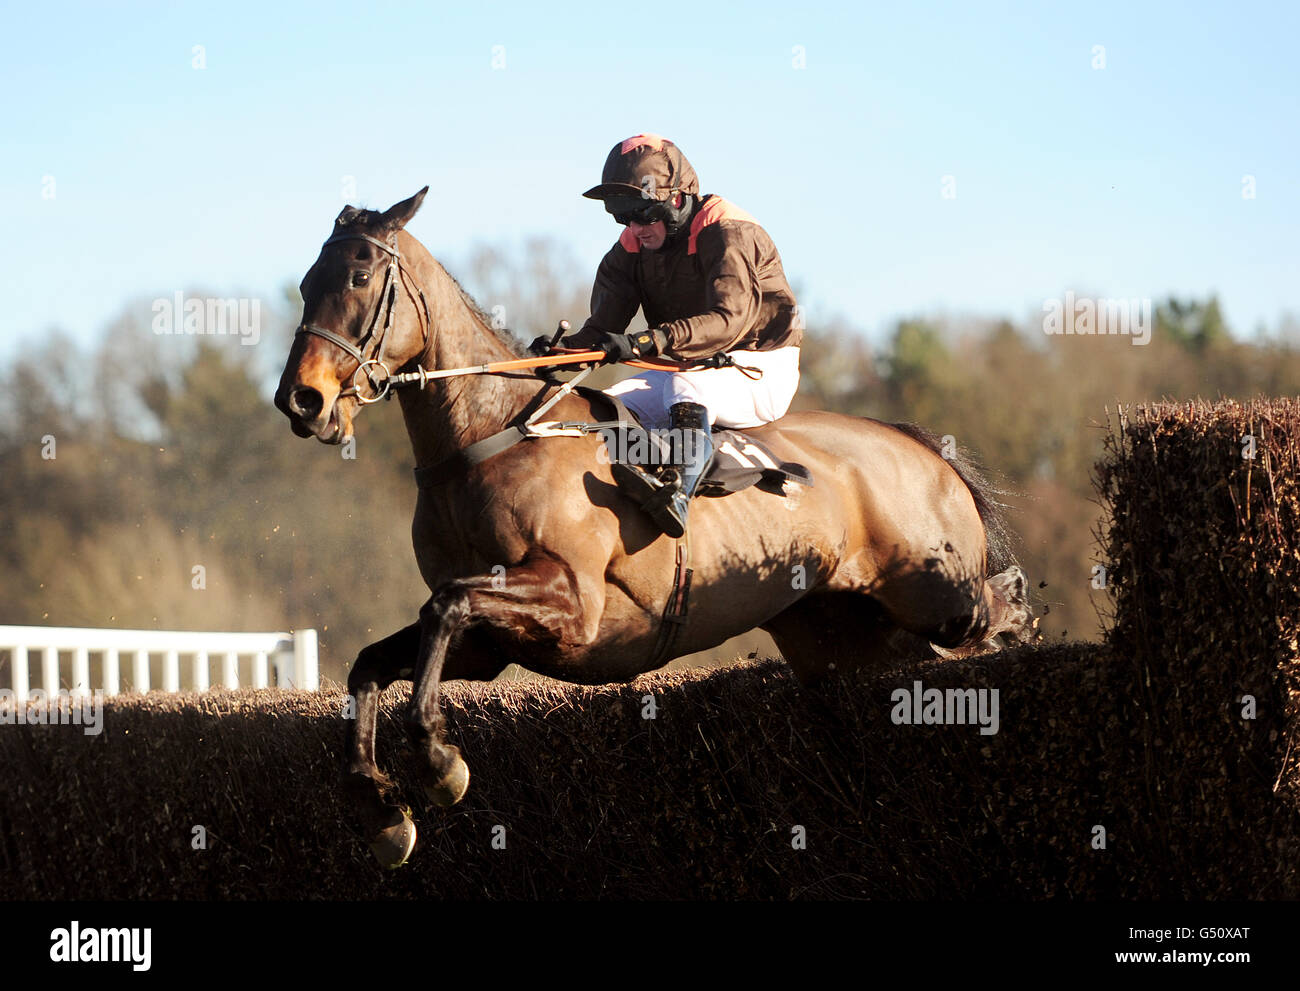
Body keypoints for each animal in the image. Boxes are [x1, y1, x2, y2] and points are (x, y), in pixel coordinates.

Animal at [274, 188, 1036, 867]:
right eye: (307, 283)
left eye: (359, 278)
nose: (301, 401)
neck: (491, 436)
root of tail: (919, 443)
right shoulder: (489, 646)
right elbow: (372, 662)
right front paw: (380, 810)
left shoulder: (572, 603)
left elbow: (445, 604)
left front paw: (438, 762)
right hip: (844, 639)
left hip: (938, 597)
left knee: (994, 613)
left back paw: (1020, 620)